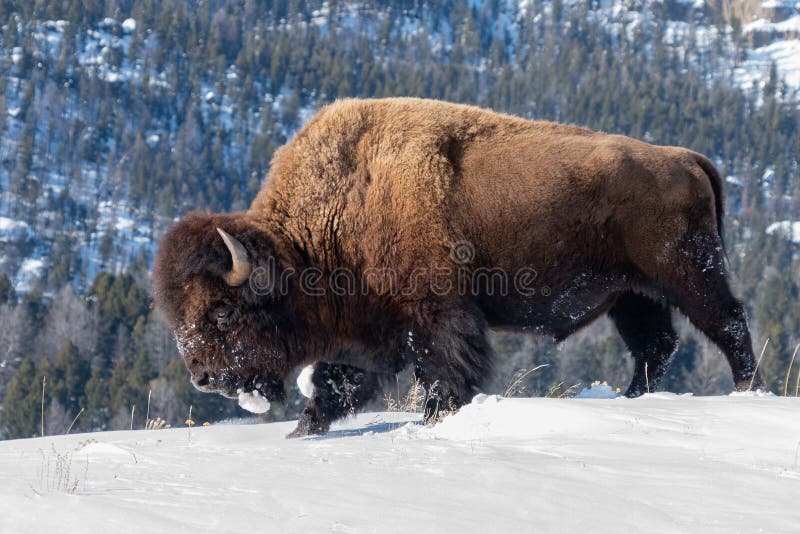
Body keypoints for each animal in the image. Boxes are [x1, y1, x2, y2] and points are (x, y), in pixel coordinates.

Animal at [153, 97, 763, 436]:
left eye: (223, 313)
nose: (203, 378)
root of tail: (685, 158)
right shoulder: (371, 332)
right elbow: (336, 382)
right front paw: (302, 432)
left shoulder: (436, 316)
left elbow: (443, 376)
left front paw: (433, 421)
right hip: (633, 296)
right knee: (655, 346)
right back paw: (633, 398)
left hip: (687, 276)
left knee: (728, 324)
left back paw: (747, 393)